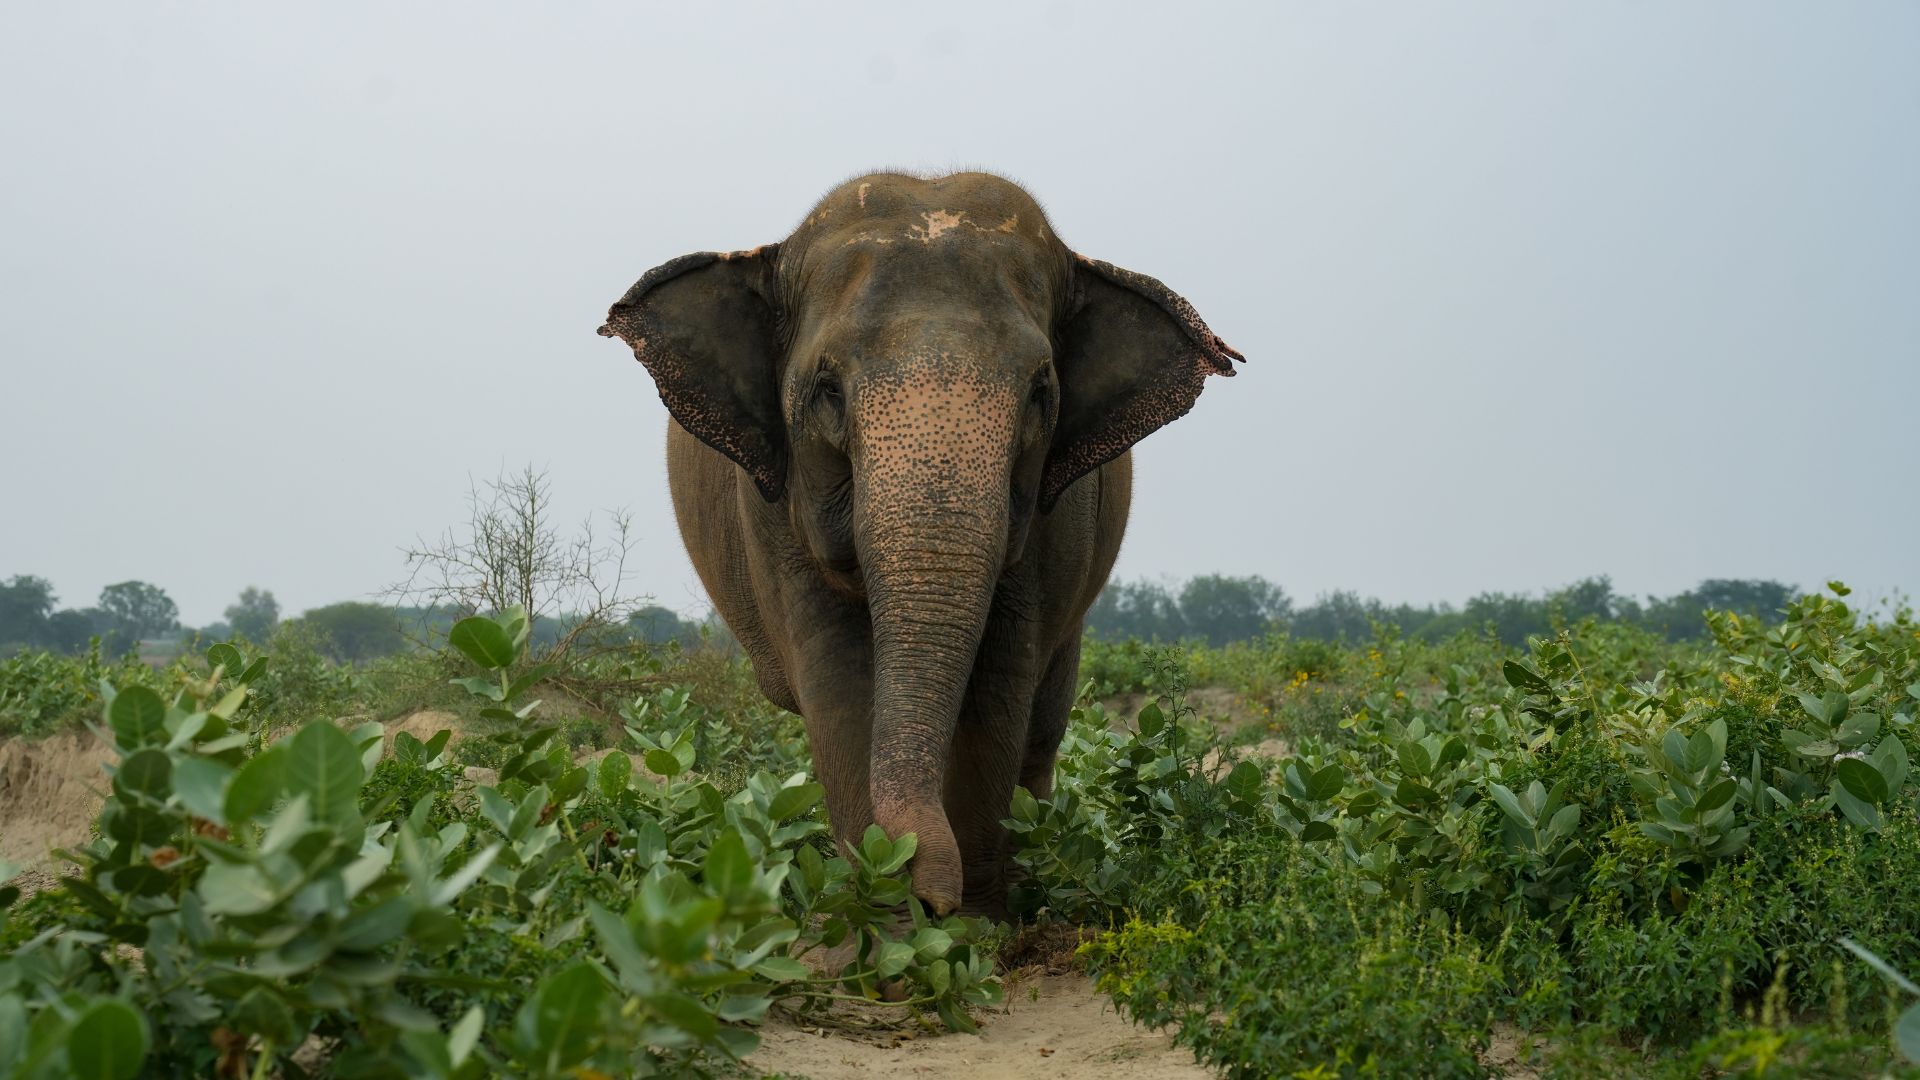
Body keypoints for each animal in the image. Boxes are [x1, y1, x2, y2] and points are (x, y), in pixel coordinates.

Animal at [598, 171, 1241, 917]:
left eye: (1040, 394)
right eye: (827, 391)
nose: (931, 893)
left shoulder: (1054, 515)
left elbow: (999, 679)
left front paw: (977, 924)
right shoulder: (771, 510)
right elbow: (838, 674)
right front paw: (885, 915)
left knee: (1043, 718)